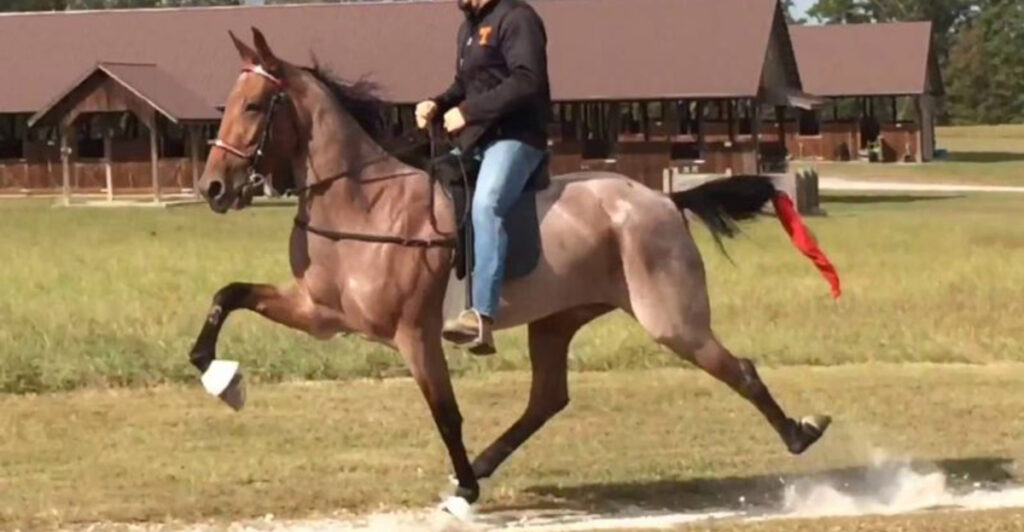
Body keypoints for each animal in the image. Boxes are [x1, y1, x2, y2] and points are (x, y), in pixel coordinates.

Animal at [189, 28, 836, 516]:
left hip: (672, 320)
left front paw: (465, 494)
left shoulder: (414, 335)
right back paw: (479, 467)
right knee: (547, 399)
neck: (365, 204)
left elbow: (446, 413)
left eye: (254, 105)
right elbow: (229, 294)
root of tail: (663, 200)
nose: (213, 188)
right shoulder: (320, 314)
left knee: (739, 369)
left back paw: (801, 434)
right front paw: (220, 376)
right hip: (557, 321)